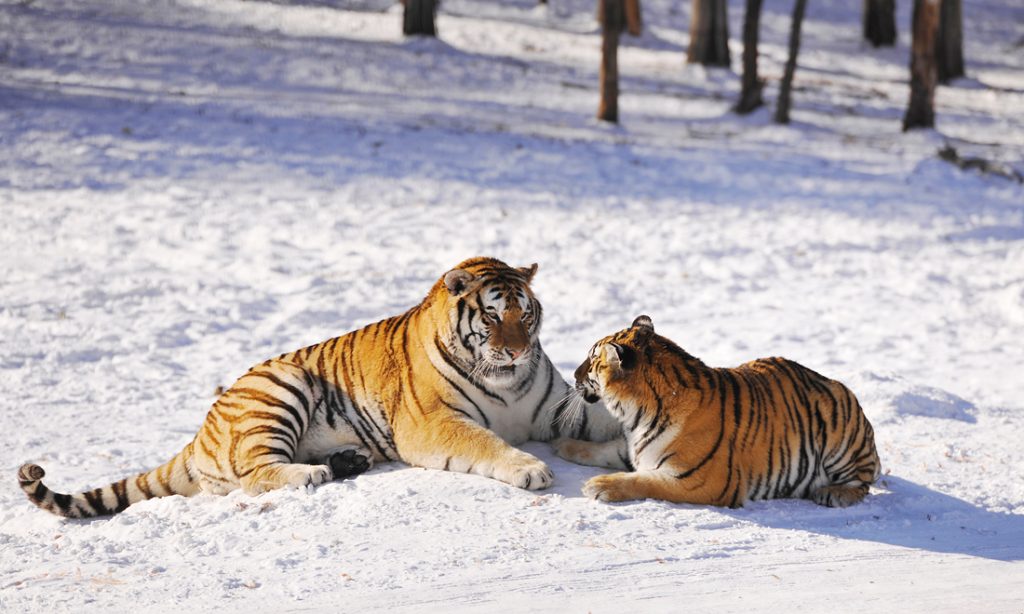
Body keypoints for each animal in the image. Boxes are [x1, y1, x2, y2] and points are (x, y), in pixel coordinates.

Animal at [18, 257, 621, 518]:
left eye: (527, 314)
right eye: (494, 316)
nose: (517, 350)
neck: (506, 377)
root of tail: (197, 435)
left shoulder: (559, 408)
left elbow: (604, 420)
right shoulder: (433, 423)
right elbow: (485, 442)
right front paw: (530, 467)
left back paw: (347, 461)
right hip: (281, 388)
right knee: (252, 476)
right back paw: (312, 473)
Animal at [554, 315, 880, 508]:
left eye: (591, 361)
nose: (574, 373)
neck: (637, 416)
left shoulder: (700, 481)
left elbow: (643, 481)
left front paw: (599, 485)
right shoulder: (634, 447)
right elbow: (603, 449)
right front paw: (563, 445)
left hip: (839, 430)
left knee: (861, 482)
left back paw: (834, 493)